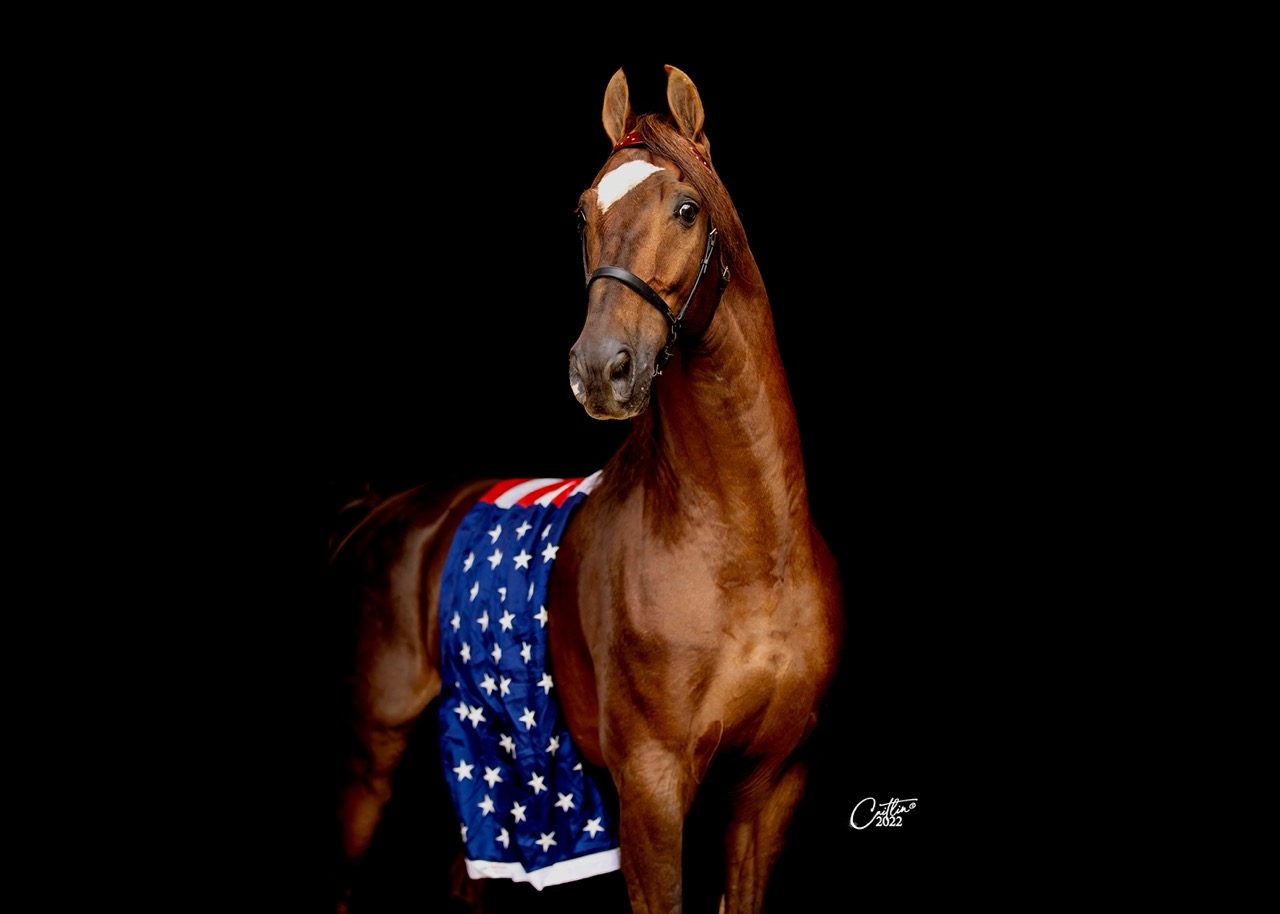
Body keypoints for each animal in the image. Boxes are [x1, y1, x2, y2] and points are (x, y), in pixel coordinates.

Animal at [330, 63, 845, 913]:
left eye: (686, 209)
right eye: (580, 214)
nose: (602, 369)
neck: (745, 549)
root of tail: (392, 509)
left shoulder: (770, 786)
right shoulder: (650, 786)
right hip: (374, 756)